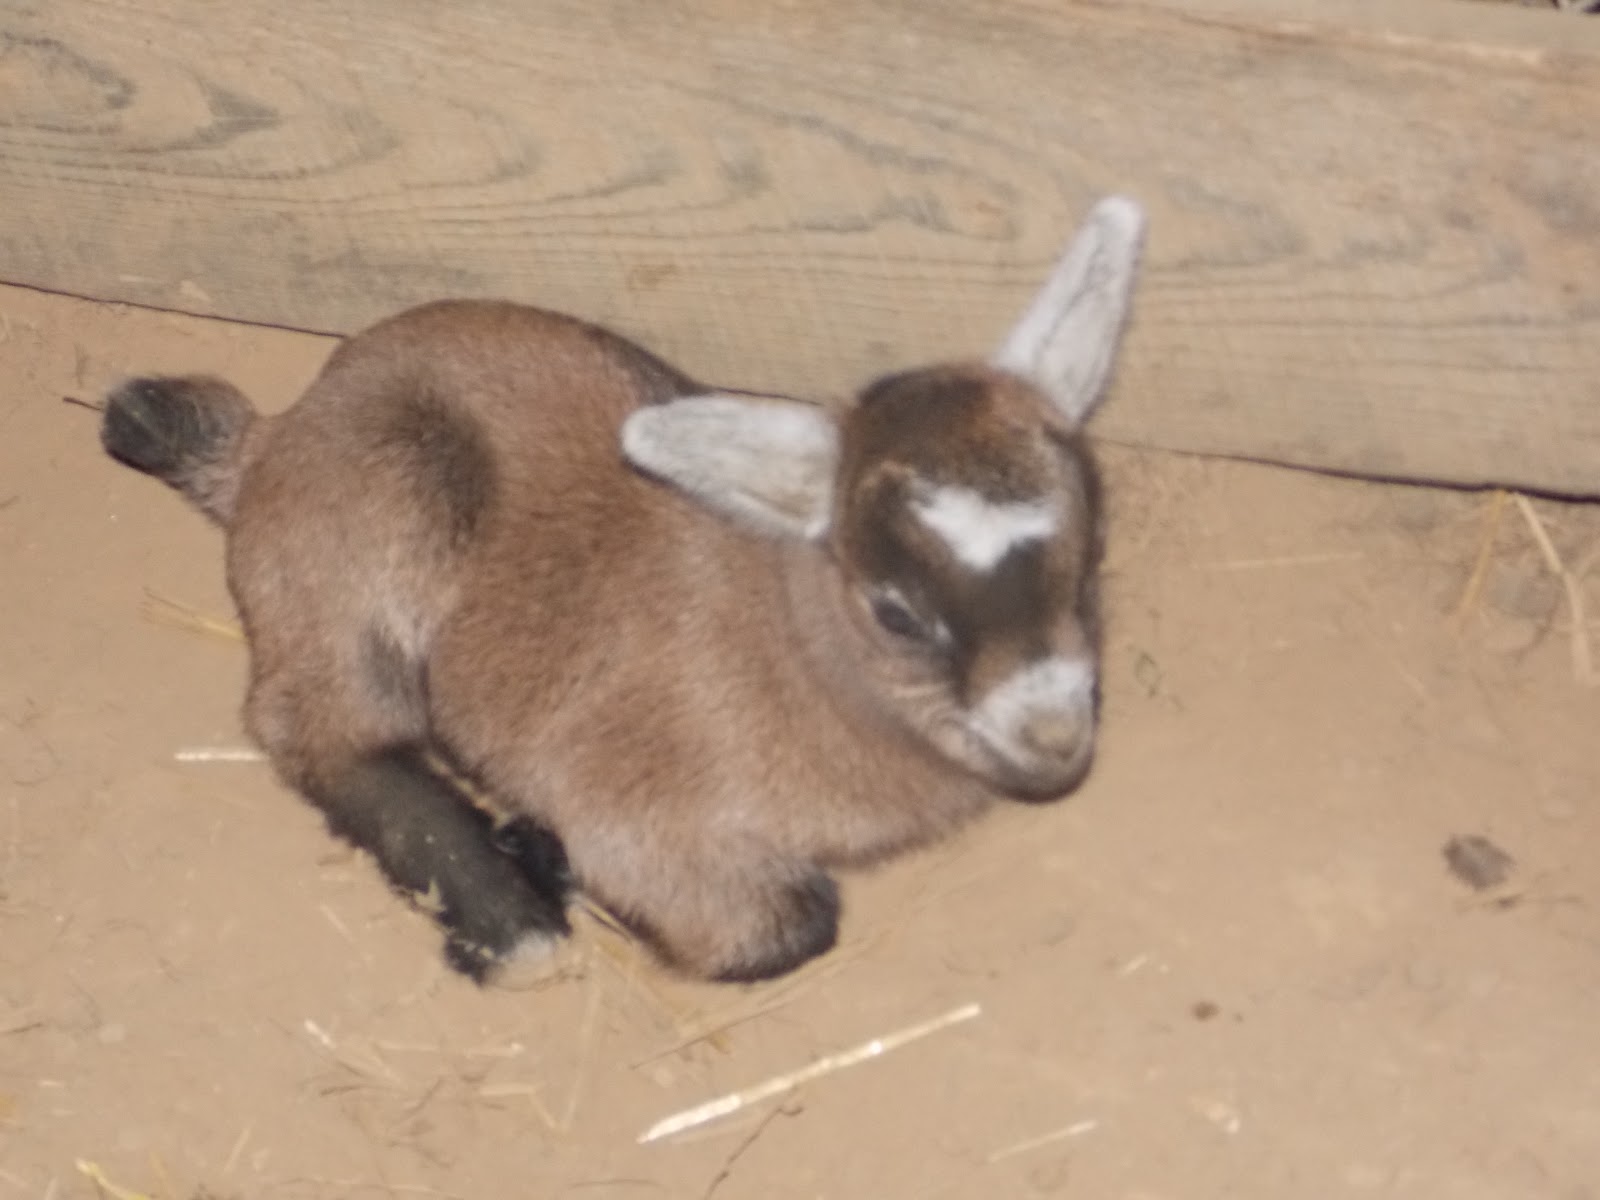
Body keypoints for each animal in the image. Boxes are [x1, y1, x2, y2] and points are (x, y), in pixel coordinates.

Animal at [101, 197, 1146, 984]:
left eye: (1090, 554)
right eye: (897, 612)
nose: (1053, 736)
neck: (794, 658)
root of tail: (270, 444)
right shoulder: (637, 816)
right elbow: (787, 924)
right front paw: (543, 854)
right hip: (382, 504)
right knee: (320, 727)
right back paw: (508, 920)